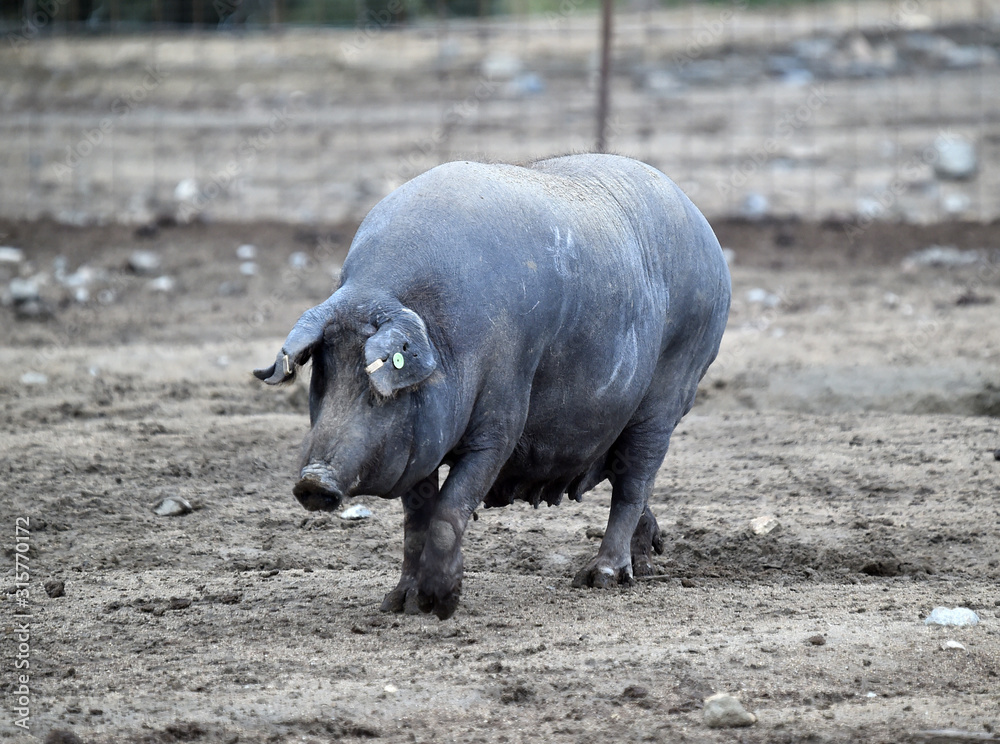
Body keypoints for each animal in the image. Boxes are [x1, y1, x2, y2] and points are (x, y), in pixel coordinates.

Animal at [254, 153, 731, 619]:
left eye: (377, 391)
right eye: (324, 375)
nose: (313, 481)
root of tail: (705, 229)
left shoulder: (502, 421)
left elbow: (451, 507)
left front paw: (440, 604)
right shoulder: (421, 442)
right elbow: (415, 521)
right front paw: (399, 604)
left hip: (666, 396)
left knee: (634, 482)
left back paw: (600, 578)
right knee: (631, 483)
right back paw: (643, 566)